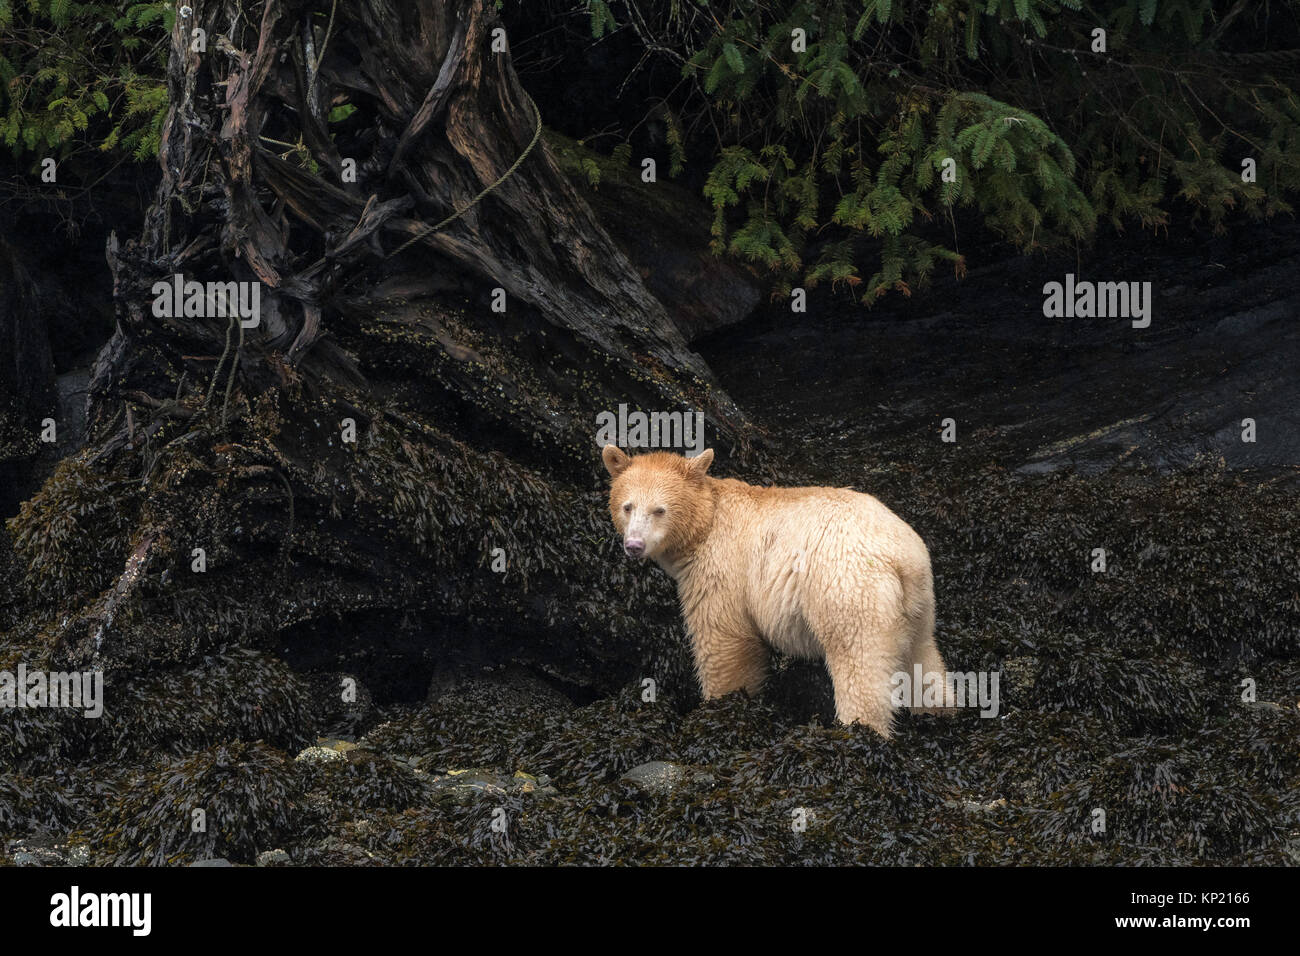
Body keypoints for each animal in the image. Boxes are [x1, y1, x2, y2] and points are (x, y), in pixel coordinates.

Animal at [601, 444, 952, 738]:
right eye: (627, 506)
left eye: (659, 510)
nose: (634, 545)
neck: (707, 521)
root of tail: (901, 559)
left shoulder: (721, 569)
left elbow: (724, 640)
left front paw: (719, 706)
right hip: (918, 603)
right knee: (922, 657)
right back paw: (938, 710)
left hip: (850, 589)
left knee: (859, 662)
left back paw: (859, 731)